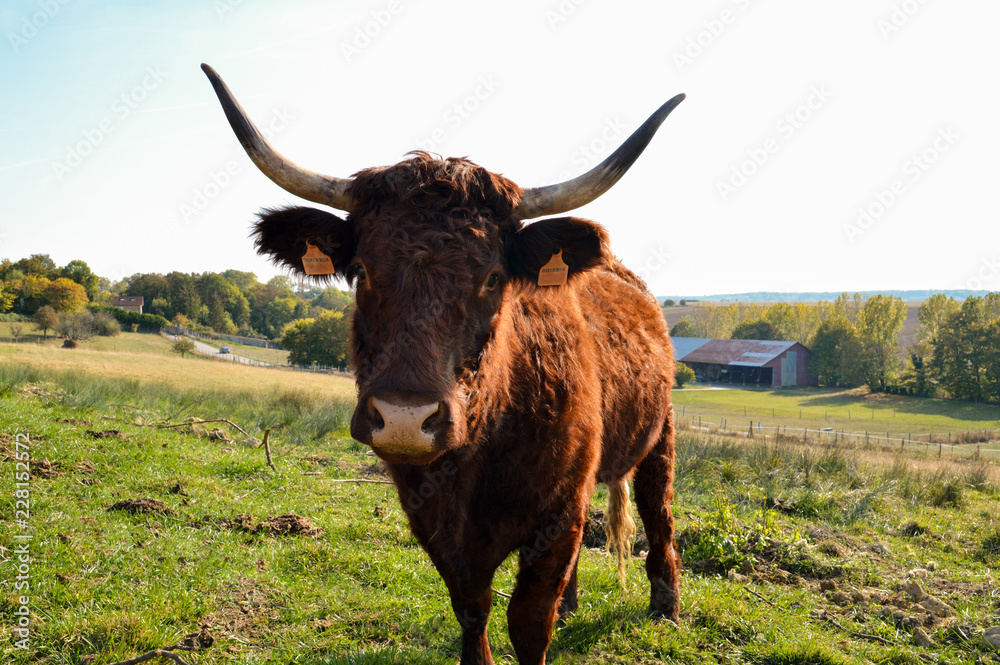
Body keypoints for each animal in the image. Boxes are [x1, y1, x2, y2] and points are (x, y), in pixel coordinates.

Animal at [202, 63, 683, 665]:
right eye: (361, 270)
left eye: (494, 277)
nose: (405, 419)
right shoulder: (434, 519)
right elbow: (471, 607)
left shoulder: (558, 512)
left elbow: (529, 621)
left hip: (660, 436)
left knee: (659, 514)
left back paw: (666, 607)